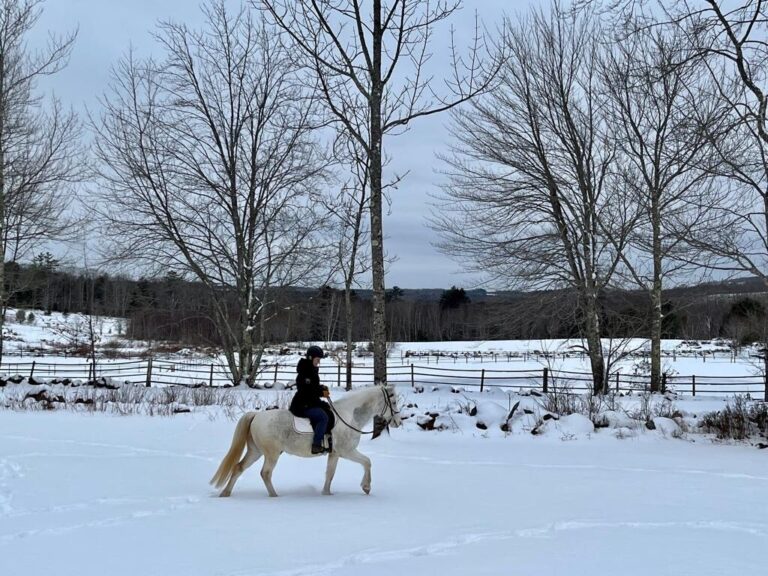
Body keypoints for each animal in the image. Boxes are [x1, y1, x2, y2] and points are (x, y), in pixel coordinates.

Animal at [210, 385, 401, 497]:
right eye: (393, 400)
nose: (398, 422)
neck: (349, 415)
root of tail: (257, 415)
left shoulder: (335, 454)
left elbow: (330, 474)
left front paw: (326, 493)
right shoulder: (347, 451)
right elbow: (367, 462)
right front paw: (366, 487)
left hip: (255, 451)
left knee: (238, 468)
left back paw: (226, 493)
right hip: (271, 454)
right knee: (265, 473)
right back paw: (274, 496)